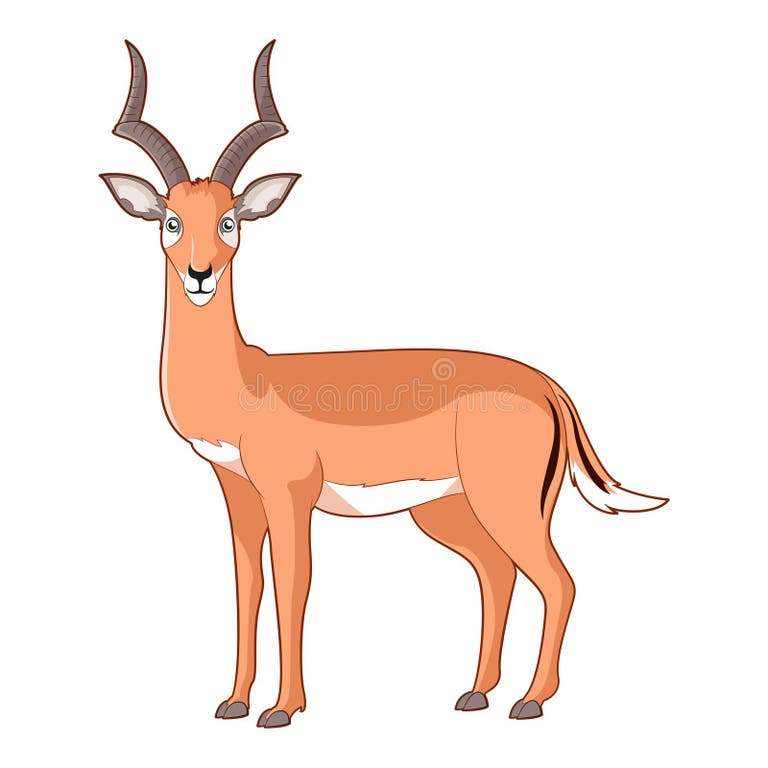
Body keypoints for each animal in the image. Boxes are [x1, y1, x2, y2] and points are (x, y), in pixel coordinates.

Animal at [101, 40, 668, 729]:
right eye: (172, 220)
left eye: (231, 220)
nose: (200, 274)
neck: (249, 383)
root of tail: (548, 387)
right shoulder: (239, 495)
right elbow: (247, 588)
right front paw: (233, 702)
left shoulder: (290, 495)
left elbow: (293, 586)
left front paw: (282, 710)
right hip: (448, 508)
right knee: (498, 573)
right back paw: (476, 693)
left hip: (504, 504)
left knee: (558, 581)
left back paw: (530, 701)